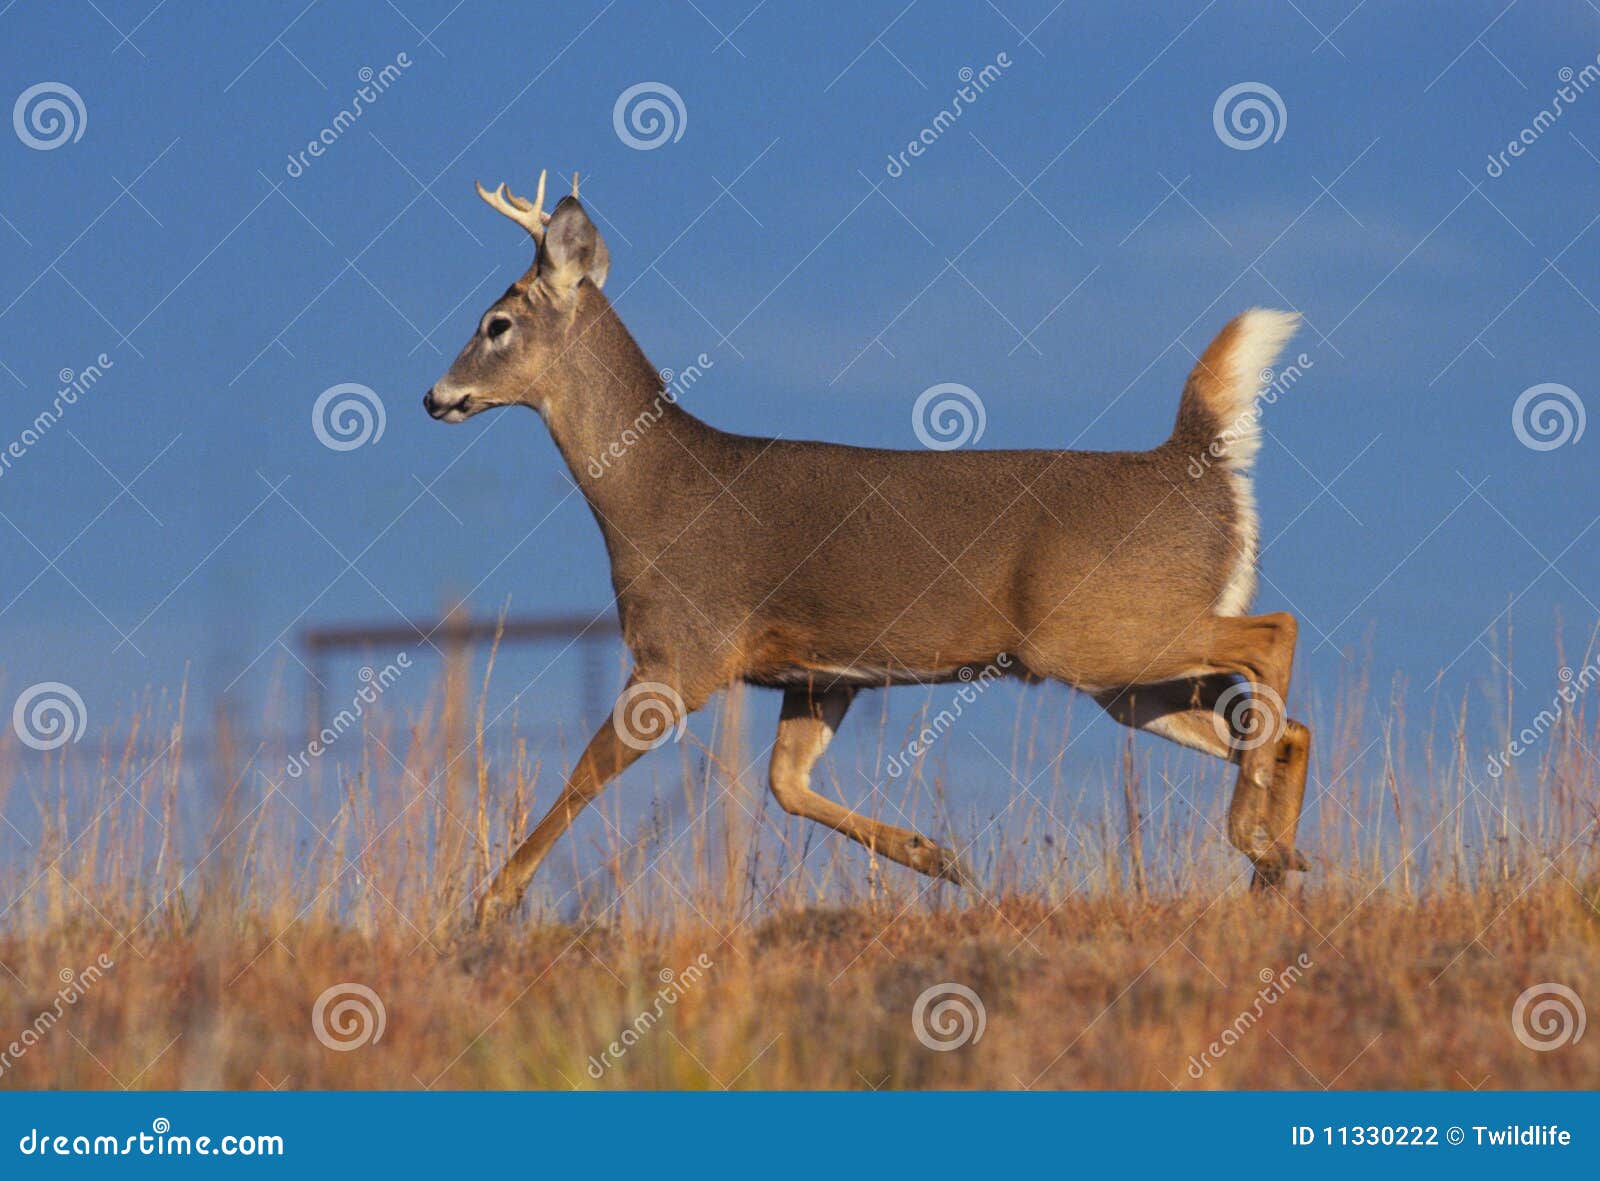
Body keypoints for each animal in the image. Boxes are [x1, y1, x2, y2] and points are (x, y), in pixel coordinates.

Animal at [423, 165, 1313, 927]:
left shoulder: (682, 649)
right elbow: (785, 782)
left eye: (497, 324)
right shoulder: (817, 674)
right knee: (1273, 723)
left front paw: (492, 900)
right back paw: (1278, 861)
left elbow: (586, 770)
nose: (435, 396)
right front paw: (936, 855)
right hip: (1125, 673)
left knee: (1276, 634)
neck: (650, 493)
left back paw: (1256, 839)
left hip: (1099, 632)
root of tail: (1198, 461)